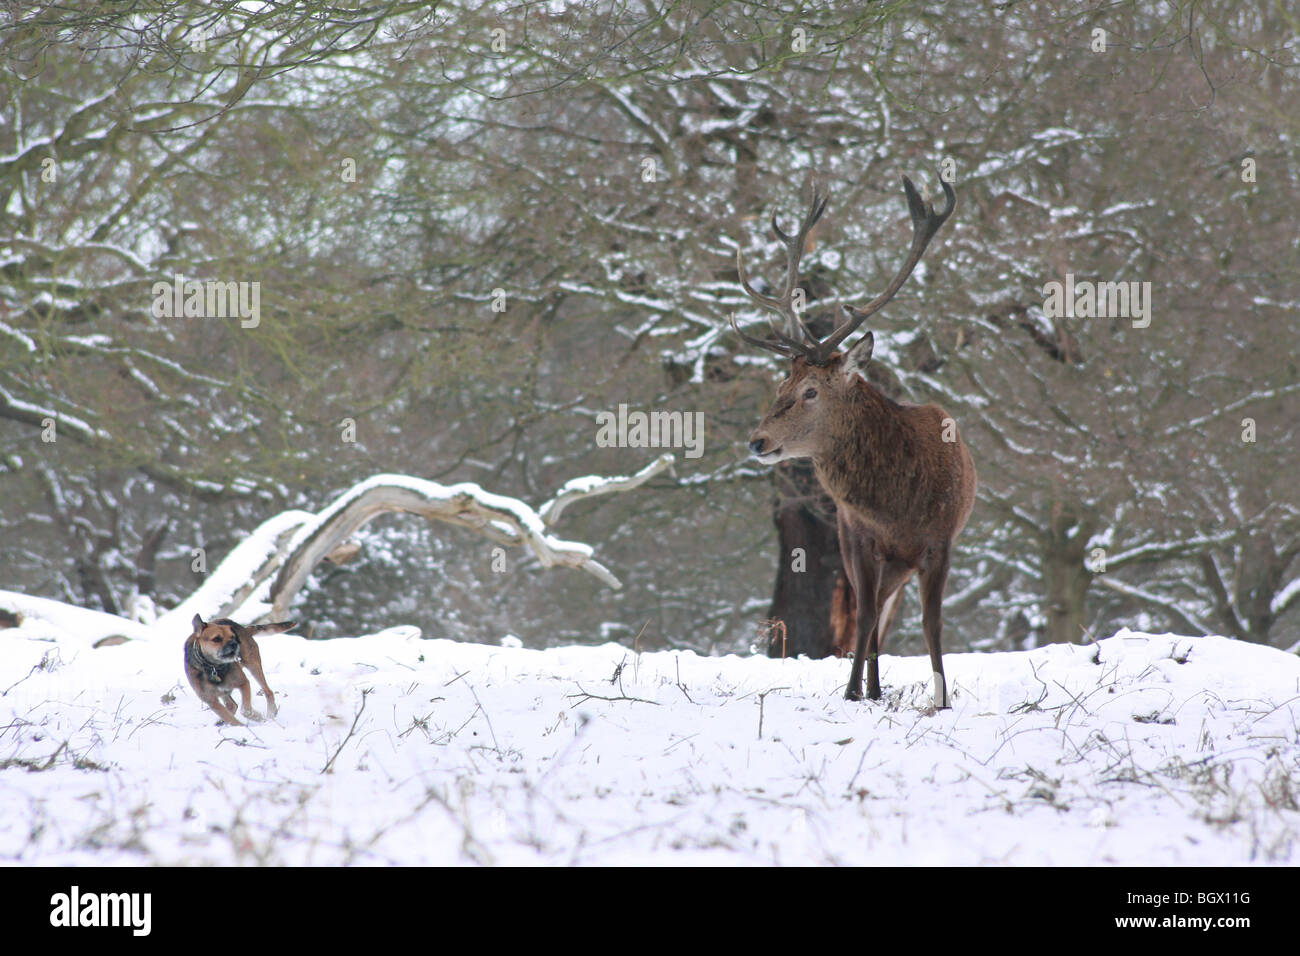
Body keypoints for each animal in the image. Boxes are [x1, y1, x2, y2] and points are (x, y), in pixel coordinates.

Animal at [732, 175, 975, 707]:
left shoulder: (940, 542)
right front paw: (850, 693)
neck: (900, 501)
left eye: (810, 391)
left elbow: (931, 622)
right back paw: (871, 686)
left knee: (885, 611)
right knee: (874, 614)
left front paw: (942, 699)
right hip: (860, 547)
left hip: (904, 560)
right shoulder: (859, 537)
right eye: (780, 384)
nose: (757, 441)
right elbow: (863, 616)